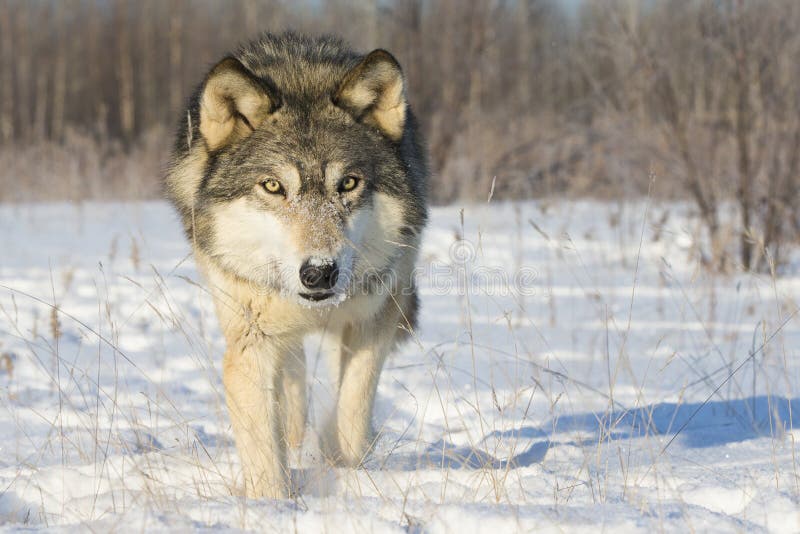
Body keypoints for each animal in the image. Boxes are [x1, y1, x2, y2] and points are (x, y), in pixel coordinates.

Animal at [165, 33, 428, 499]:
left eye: (348, 184)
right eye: (273, 186)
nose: (319, 272)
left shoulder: (374, 319)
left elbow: (352, 414)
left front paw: (339, 463)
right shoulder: (251, 338)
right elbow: (262, 445)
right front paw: (272, 501)